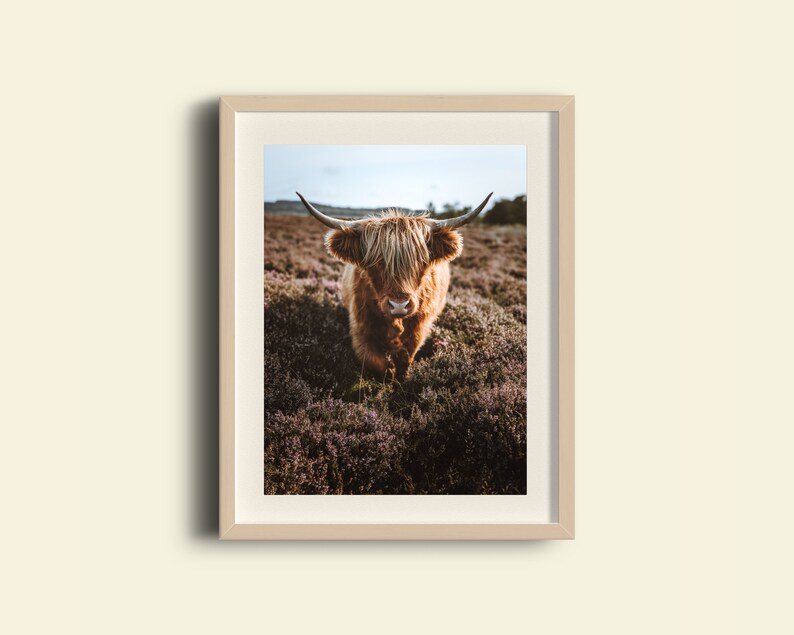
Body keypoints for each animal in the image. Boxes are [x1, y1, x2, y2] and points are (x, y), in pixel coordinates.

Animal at [297, 192, 492, 382]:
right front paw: (389, 375)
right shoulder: (360, 328)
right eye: (375, 262)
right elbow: (376, 362)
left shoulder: (419, 327)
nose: (399, 305)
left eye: (421, 261)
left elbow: (406, 358)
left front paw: (401, 378)